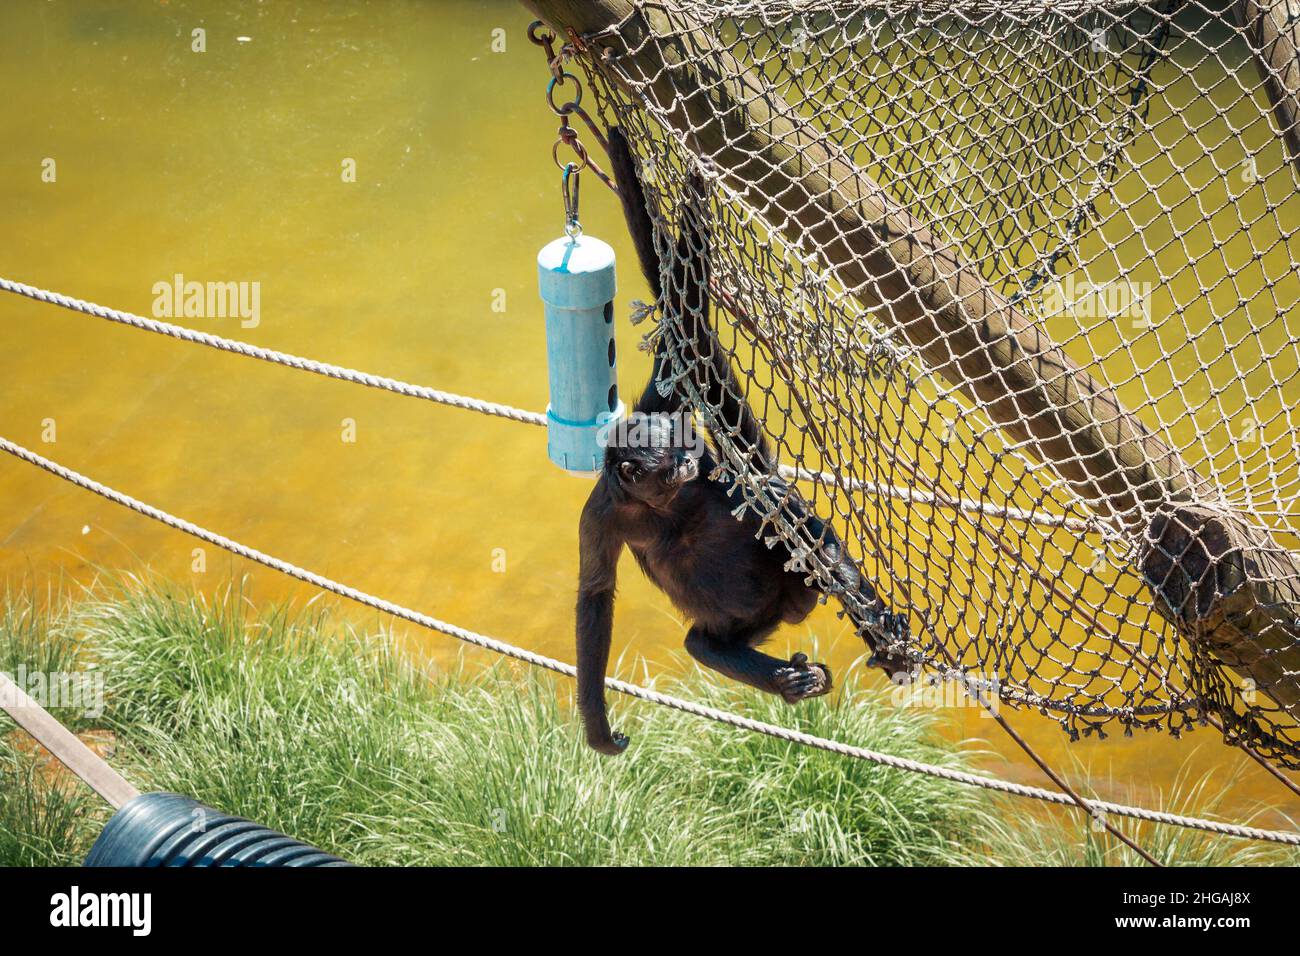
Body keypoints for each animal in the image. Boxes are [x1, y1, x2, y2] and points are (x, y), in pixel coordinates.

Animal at [575, 127, 909, 755]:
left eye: (686, 449)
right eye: (668, 461)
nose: (689, 462)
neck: (662, 504)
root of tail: (786, 608)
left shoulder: (667, 407)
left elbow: (685, 325)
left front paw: (677, 174)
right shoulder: (603, 510)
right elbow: (595, 593)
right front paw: (596, 723)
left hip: (789, 575)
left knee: (785, 510)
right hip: (752, 618)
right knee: (704, 643)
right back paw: (789, 679)